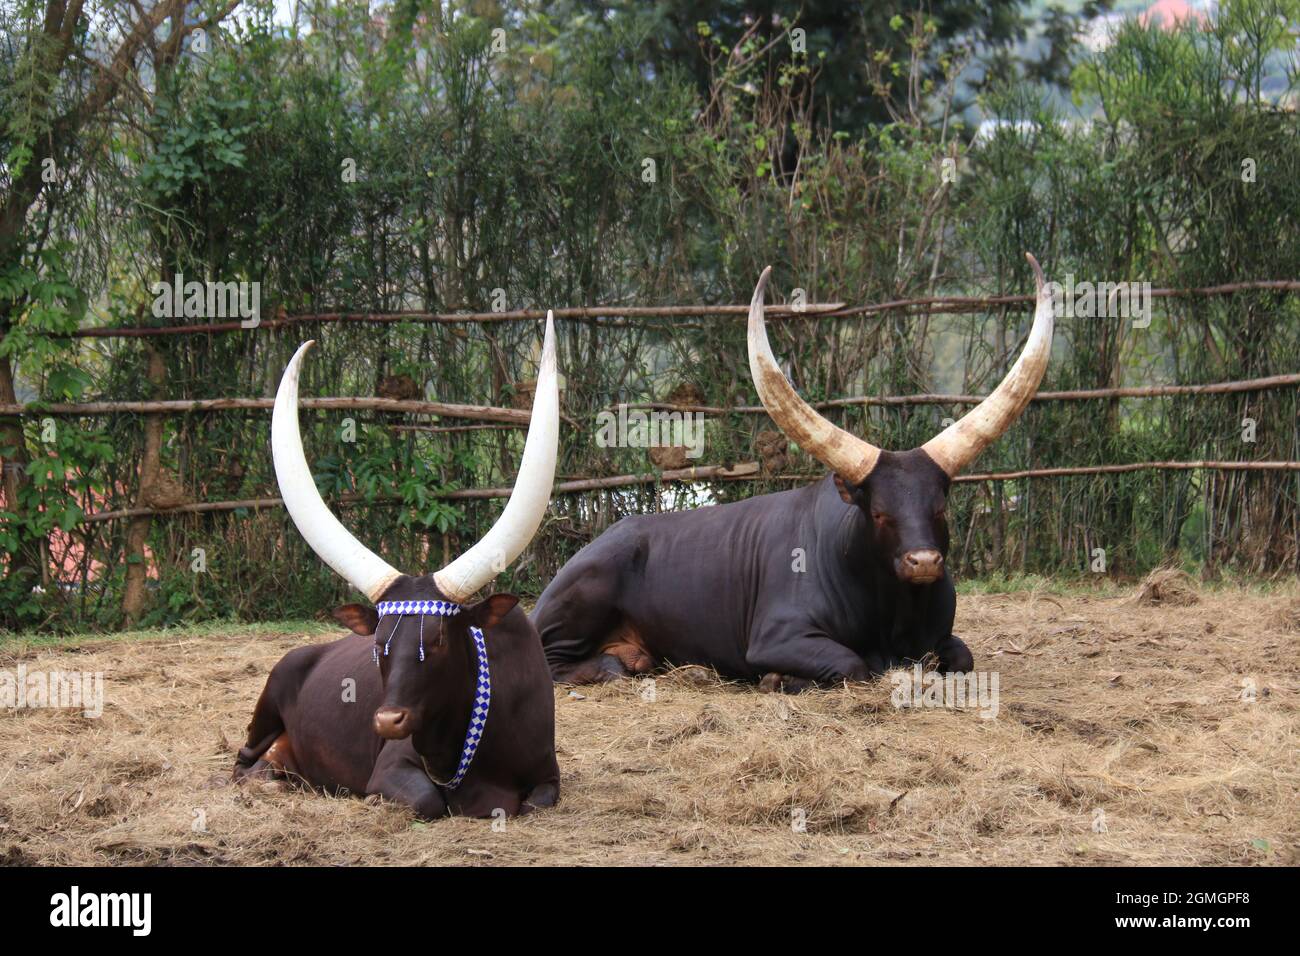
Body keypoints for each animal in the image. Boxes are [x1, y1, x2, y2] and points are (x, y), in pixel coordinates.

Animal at [233, 316, 562, 818]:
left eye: (439, 639)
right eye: (378, 643)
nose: (389, 720)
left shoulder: (549, 776)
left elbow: (535, 802)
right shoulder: (392, 768)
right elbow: (427, 801)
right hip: (265, 705)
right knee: (241, 762)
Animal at [534, 255, 1054, 692]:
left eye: (940, 507)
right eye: (879, 513)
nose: (923, 562)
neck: (894, 611)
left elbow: (962, 657)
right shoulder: (777, 636)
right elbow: (853, 664)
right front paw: (779, 680)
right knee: (555, 659)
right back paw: (619, 665)